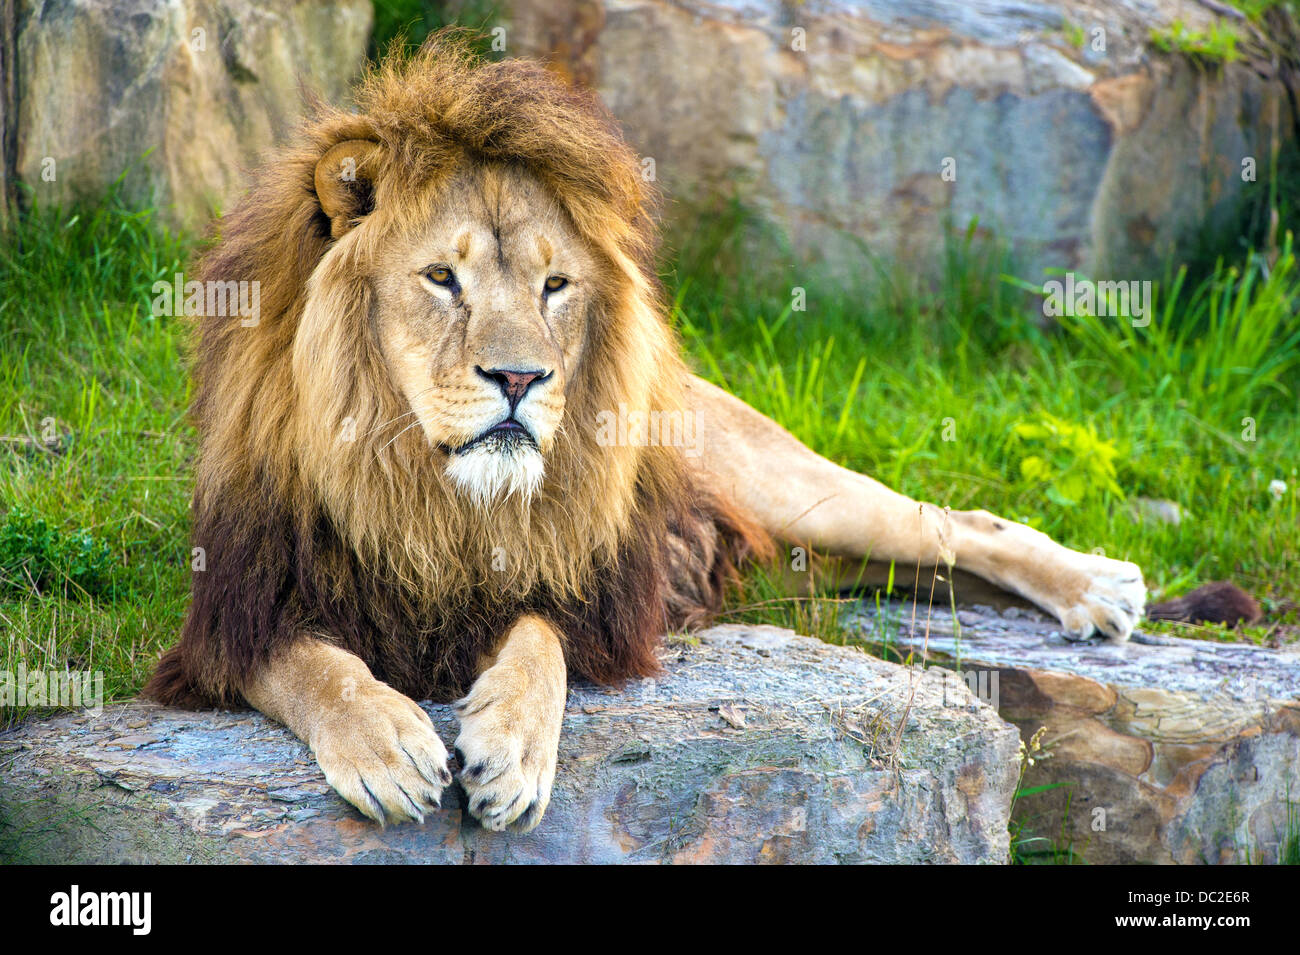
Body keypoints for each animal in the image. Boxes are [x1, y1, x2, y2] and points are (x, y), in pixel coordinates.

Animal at [145, 36, 1146, 833]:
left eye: (554, 286)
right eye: (441, 278)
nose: (522, 378)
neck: (426, 494)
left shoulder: (596, 588)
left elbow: (540, 640)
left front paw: (512, 749)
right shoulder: (234, 613)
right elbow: (314, 667)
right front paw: (386, 741)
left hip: (801, 494)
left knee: (955, 524)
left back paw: (1098, 585)